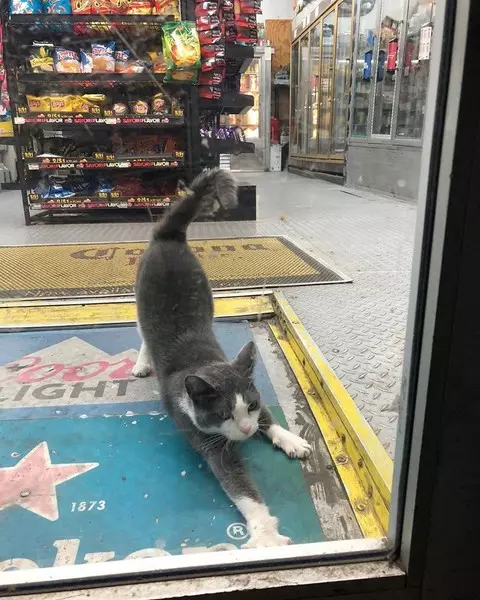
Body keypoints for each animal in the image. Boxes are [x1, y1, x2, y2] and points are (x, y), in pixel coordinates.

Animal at [133, 169, 312, 548]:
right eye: (223, 414)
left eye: (251, 406)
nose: (245, 430)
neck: (201, 360)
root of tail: (168, 234)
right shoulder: (207, 441)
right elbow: (242, 489)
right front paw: (266, 534)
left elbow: (270, 421)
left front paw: (289, 439)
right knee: (142, 333)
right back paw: (142, 363)